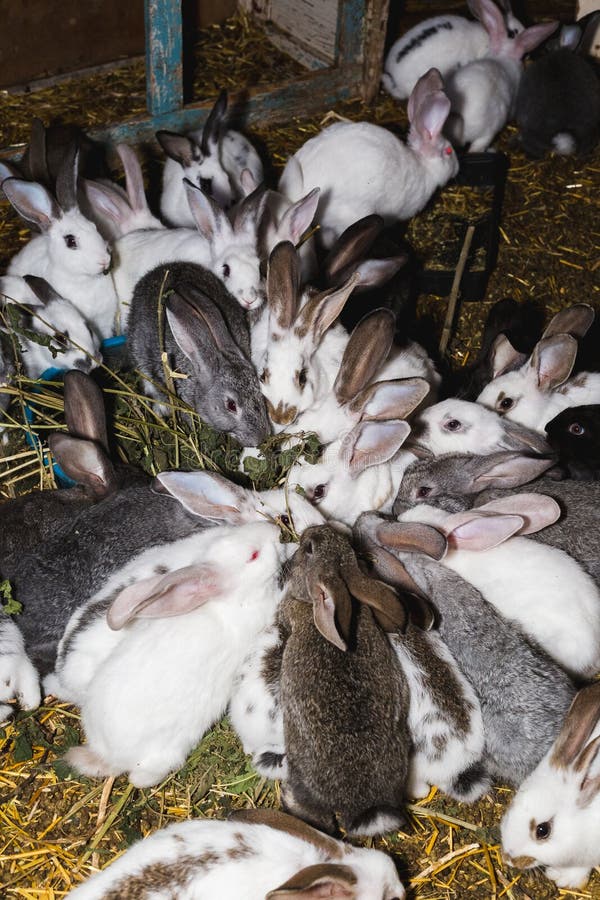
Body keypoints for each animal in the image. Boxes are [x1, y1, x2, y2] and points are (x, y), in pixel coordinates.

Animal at [50, 520, 293, 787]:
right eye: (253, 555)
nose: (275, 530)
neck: (227, 601)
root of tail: (108, 755)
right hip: (165, 755)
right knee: (139, 778)